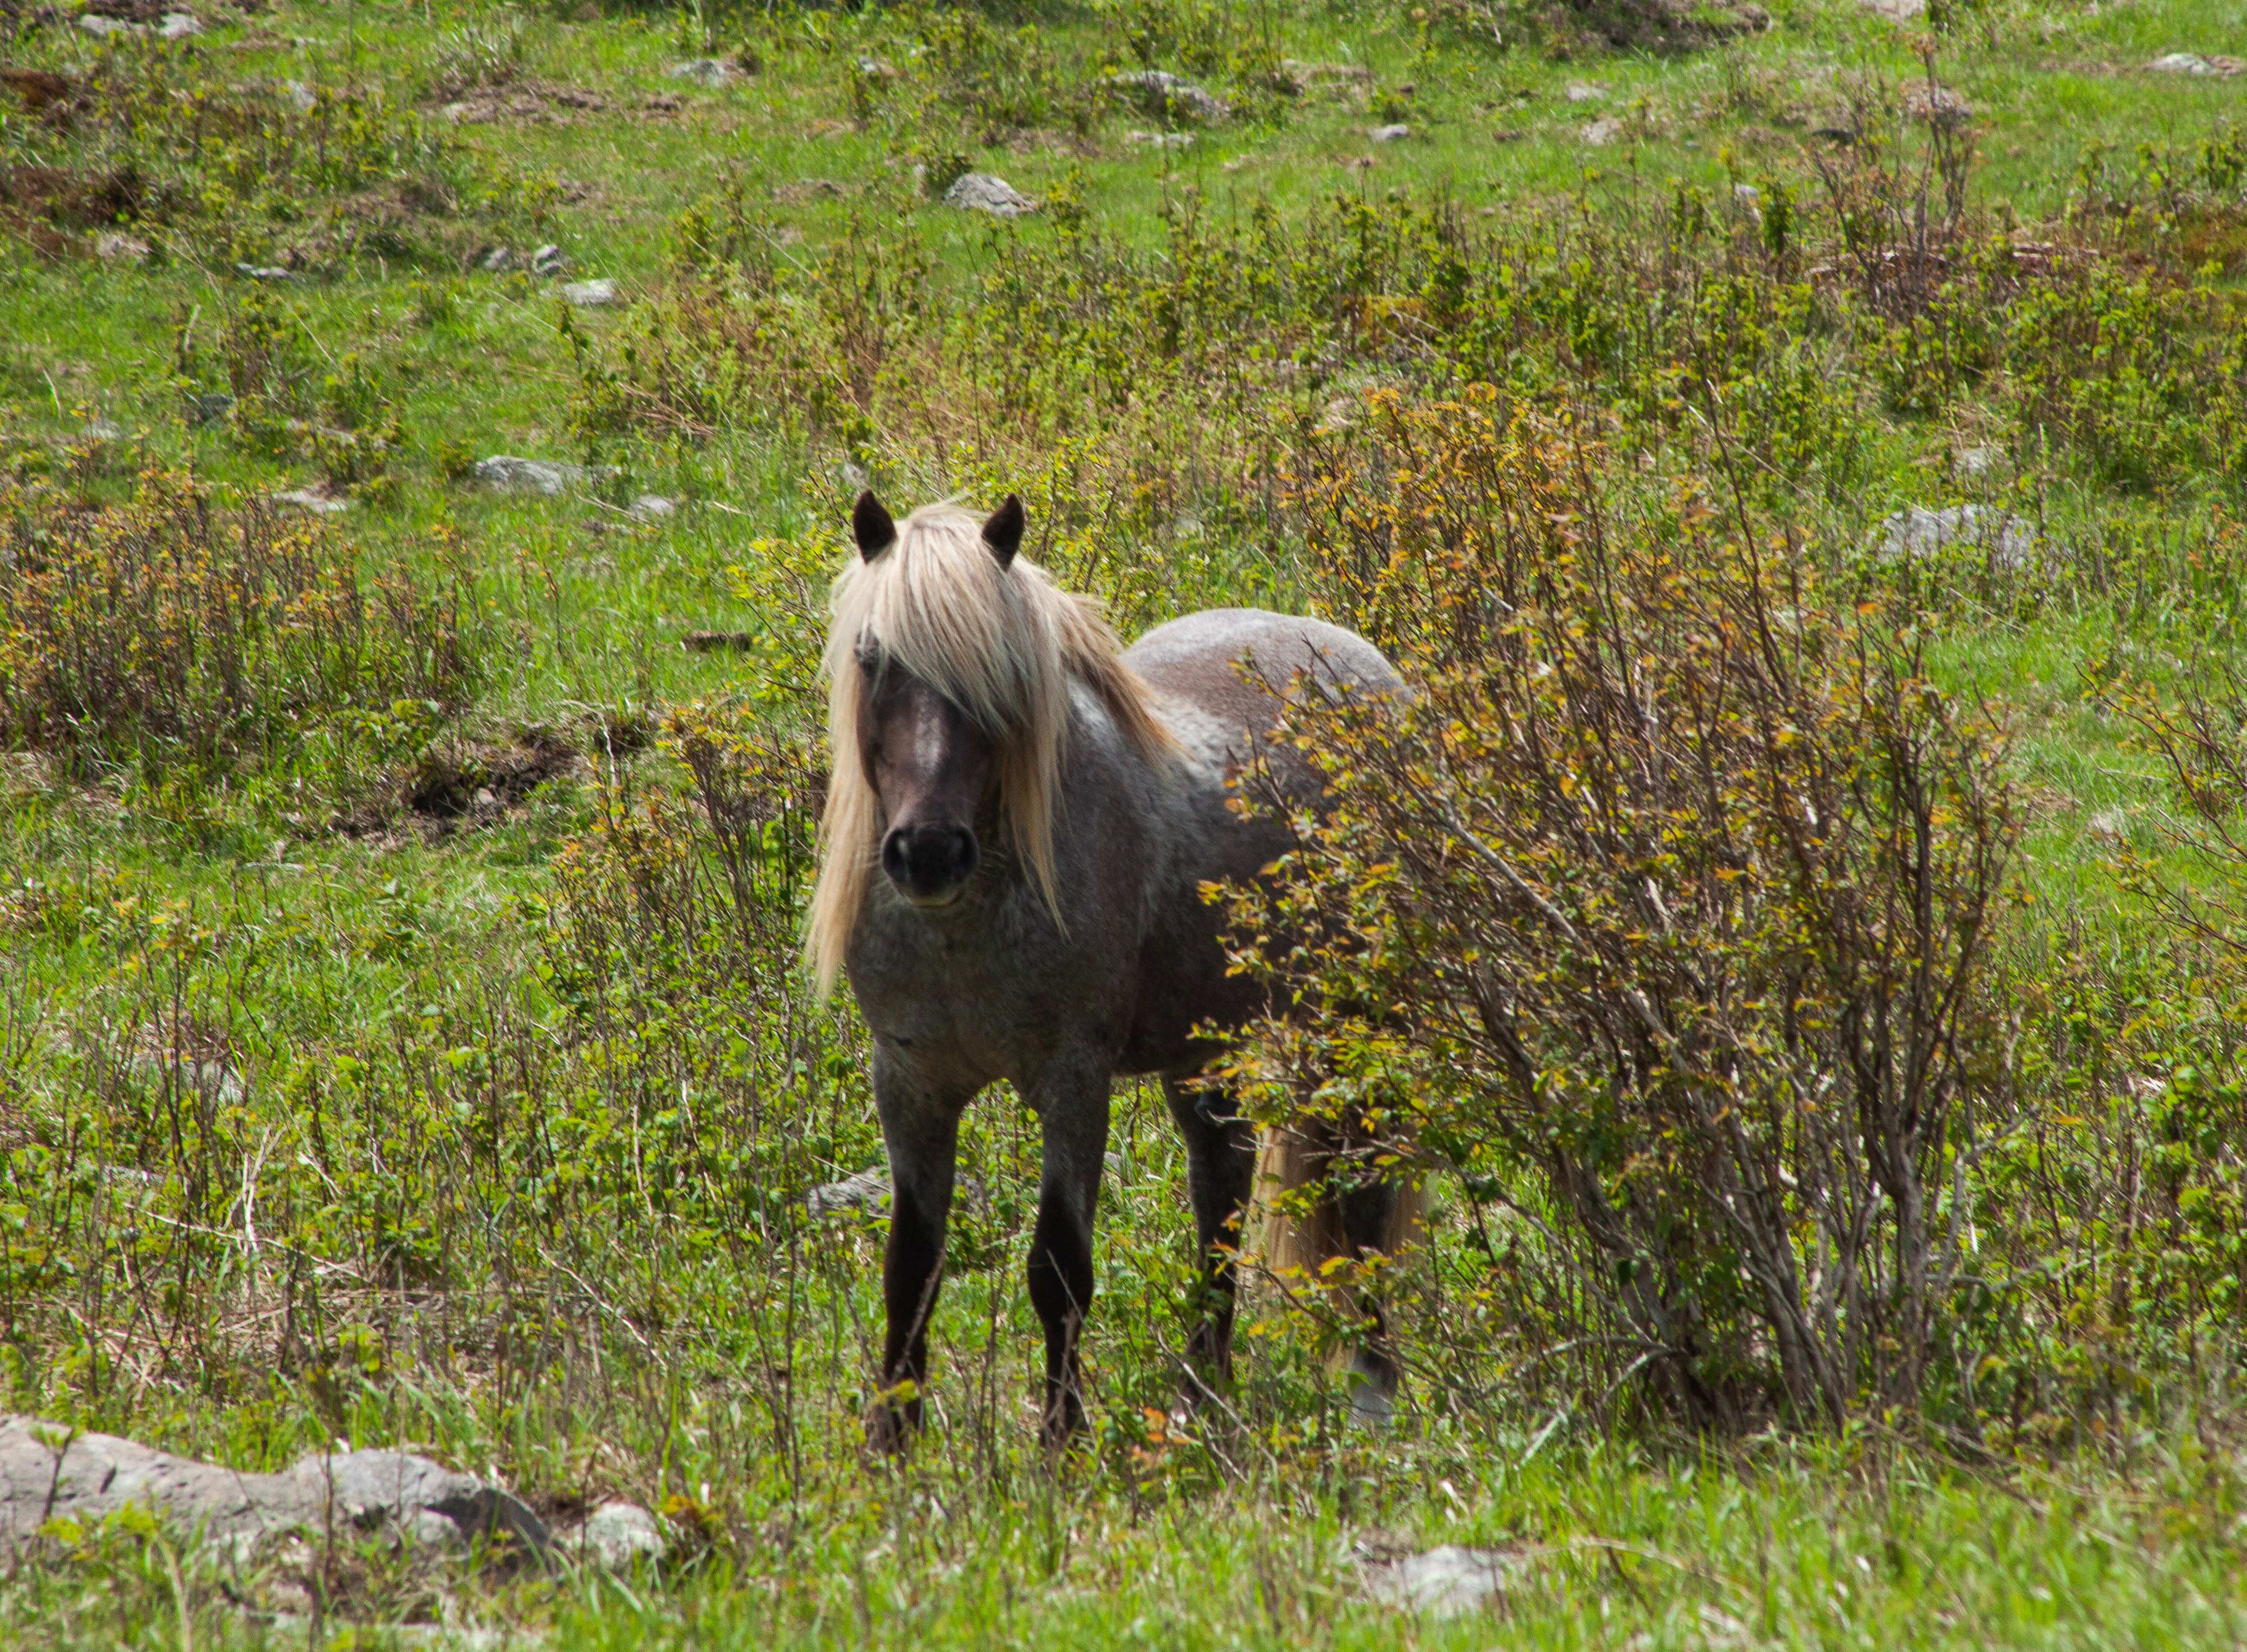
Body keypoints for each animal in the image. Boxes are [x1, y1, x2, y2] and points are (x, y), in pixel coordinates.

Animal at [809, 489, 1419, 1455]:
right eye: (873, 659)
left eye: (1001, 677)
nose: (928, 852)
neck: (964, 928)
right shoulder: (910, 1083)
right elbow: (911, 1268)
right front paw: (889, 1442)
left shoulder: (1073, 1079)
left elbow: (1057, 1265)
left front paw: (1061, 1438)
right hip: (1206, 1054)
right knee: (1222, 1200)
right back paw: (1201, 1394)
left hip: (1351, 1023)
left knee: (1361, 1191)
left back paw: (1370, 1389)